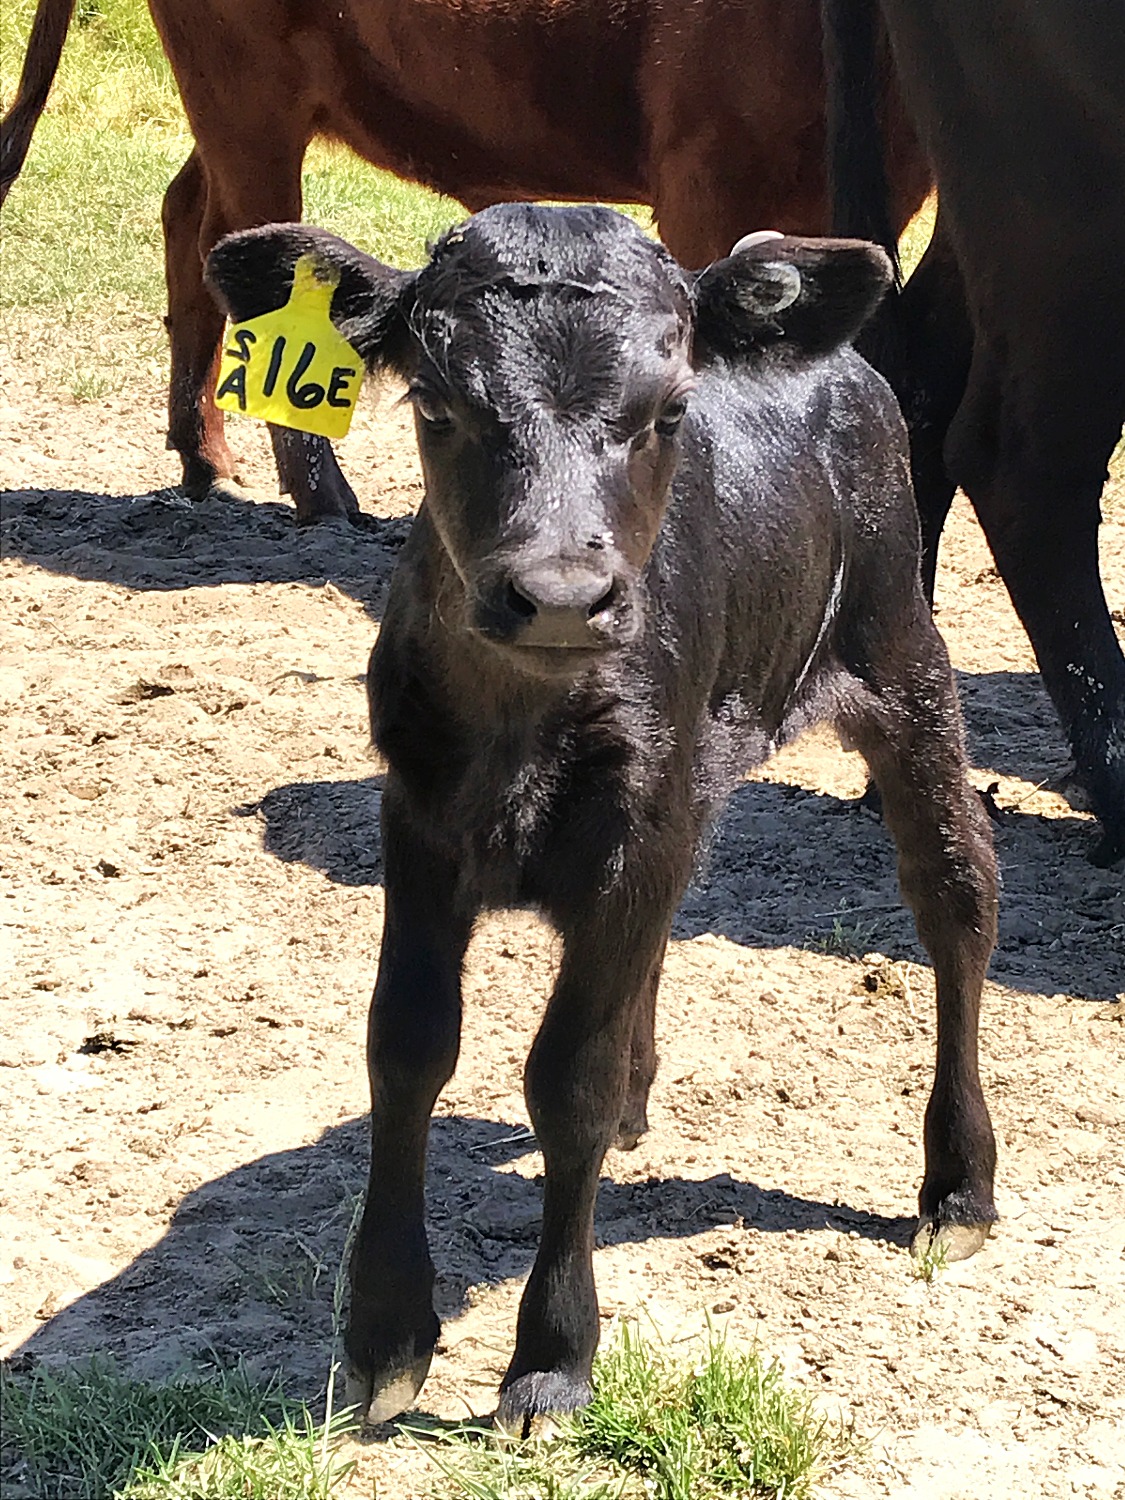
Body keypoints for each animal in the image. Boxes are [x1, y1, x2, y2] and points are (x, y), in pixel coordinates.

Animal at [205, 203, 999, 1430]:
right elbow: (405, 1047)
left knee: (956, 895)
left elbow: (562, 1078)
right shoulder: (419, 820)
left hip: (902, 653)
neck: (526, 725)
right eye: (436, 403)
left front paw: (550, 1356)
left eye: (667, 411)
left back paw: (956, 1184)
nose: (559, 597)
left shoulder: (638, 827)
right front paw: (384, 1333)